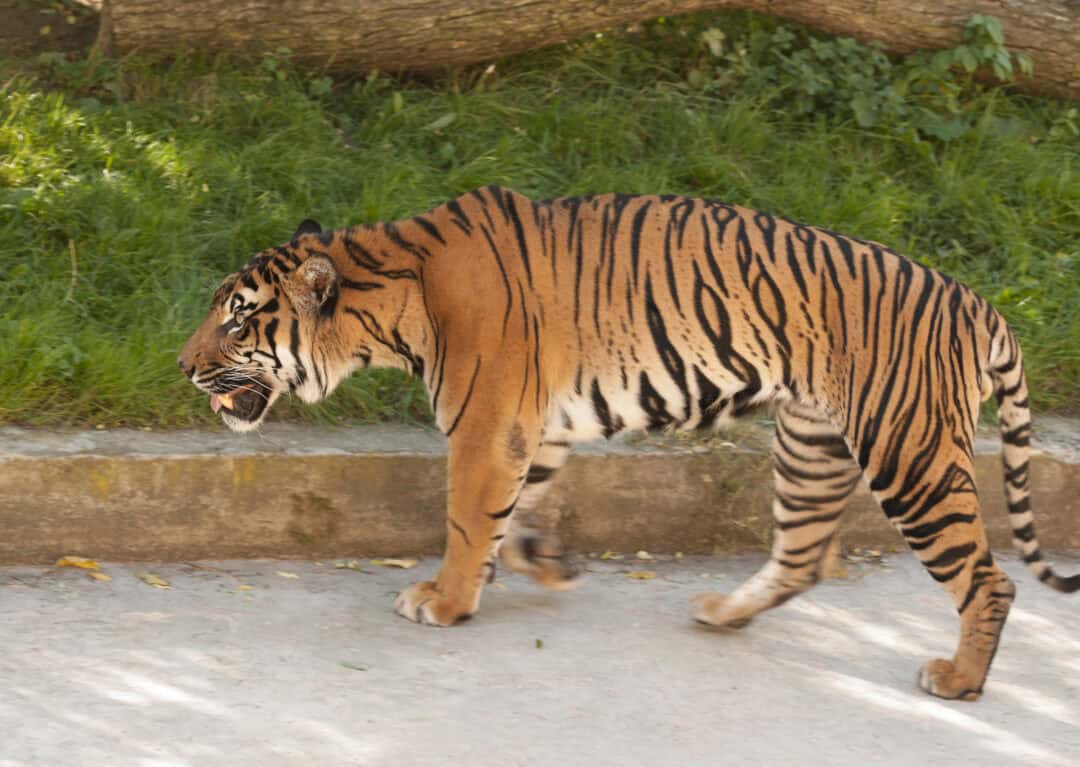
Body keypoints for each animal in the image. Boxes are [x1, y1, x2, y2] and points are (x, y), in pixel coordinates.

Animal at [178, 185, 1078, 701]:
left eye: (236, 318)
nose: (184, 366)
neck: (391, 291)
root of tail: (977, 303)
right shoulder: (534, 421)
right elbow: (519, 509)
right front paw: (545, 563)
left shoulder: (487, 424)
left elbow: (468, 518)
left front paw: (445, 599)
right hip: (813, 445)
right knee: (805, 554)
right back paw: (721, 612)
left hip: (909, 452)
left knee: (987, 579)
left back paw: (957, 679)